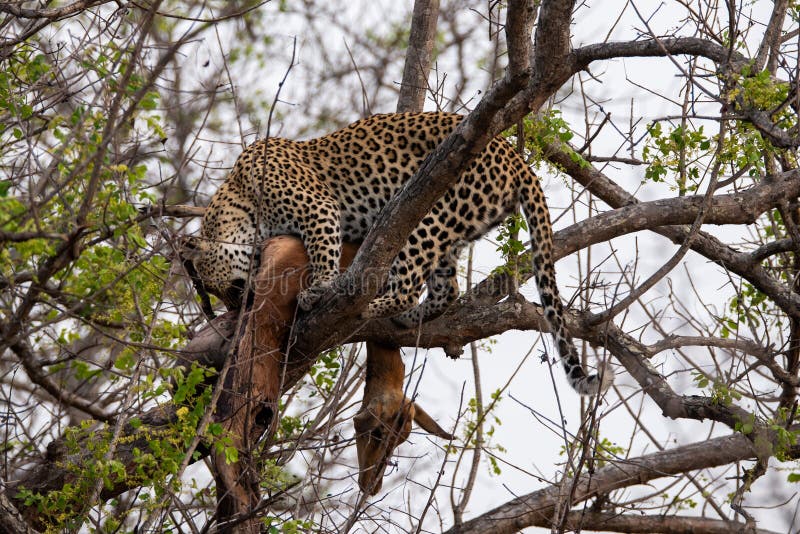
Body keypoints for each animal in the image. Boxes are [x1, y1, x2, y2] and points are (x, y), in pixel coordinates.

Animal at [183, 112, 613, 395]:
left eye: (229, 291)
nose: (237, 310)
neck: (237, 197)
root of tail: (515, 158)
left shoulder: (318, 208)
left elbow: (323, 251)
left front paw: (318, 289)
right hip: (448, 228)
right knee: (446, 291)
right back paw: (407, 317)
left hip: (428, 213)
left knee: (407, 286)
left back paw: (364, 307)